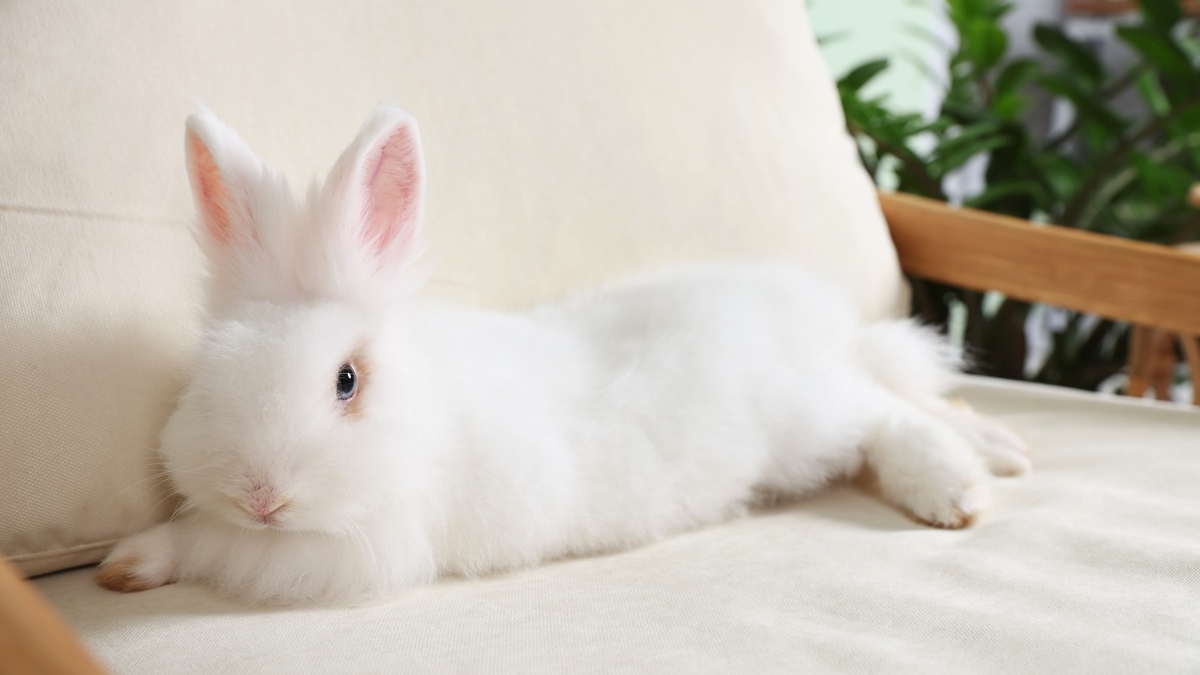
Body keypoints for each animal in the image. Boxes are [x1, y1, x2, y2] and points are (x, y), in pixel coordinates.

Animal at [95, 107, 1031, 605]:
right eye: (206, 373)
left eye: (346, 381)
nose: (261, 493)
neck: (424, 412)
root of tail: (819, 321)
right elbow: (202, 532)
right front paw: (127, 562)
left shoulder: (353, 555)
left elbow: (221, 548)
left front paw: (131, 562)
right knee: (917, 394)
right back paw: (1004, 452)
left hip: (808, 413)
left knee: (890, 414)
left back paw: (958, 492)